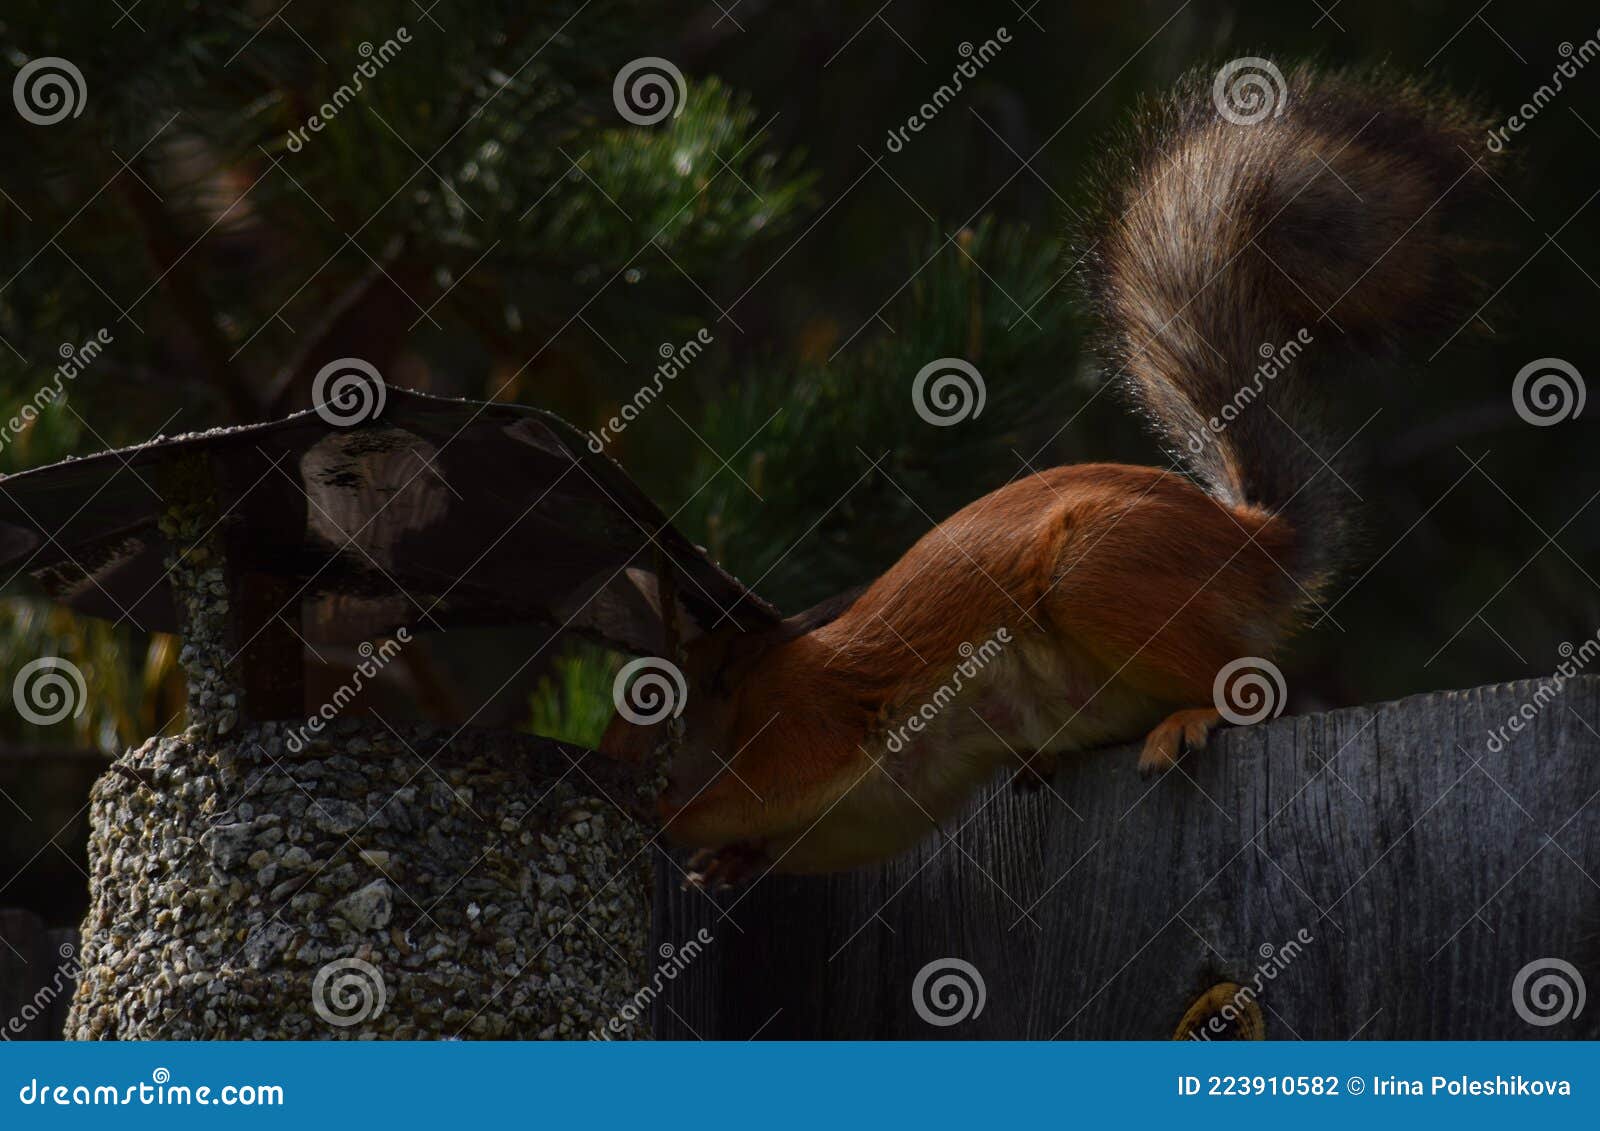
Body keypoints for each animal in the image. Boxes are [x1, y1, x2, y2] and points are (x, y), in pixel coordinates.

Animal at [601, 64, 1494, 887]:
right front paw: (723, 859)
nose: (607, 757)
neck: (751, 686)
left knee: (1255, 687)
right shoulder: (877, 803)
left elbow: (760, 784)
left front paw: (670, 808)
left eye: (652, 694)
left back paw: (1188, 718)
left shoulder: (812, 720)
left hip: (1104, 570)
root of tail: (1254, 542)